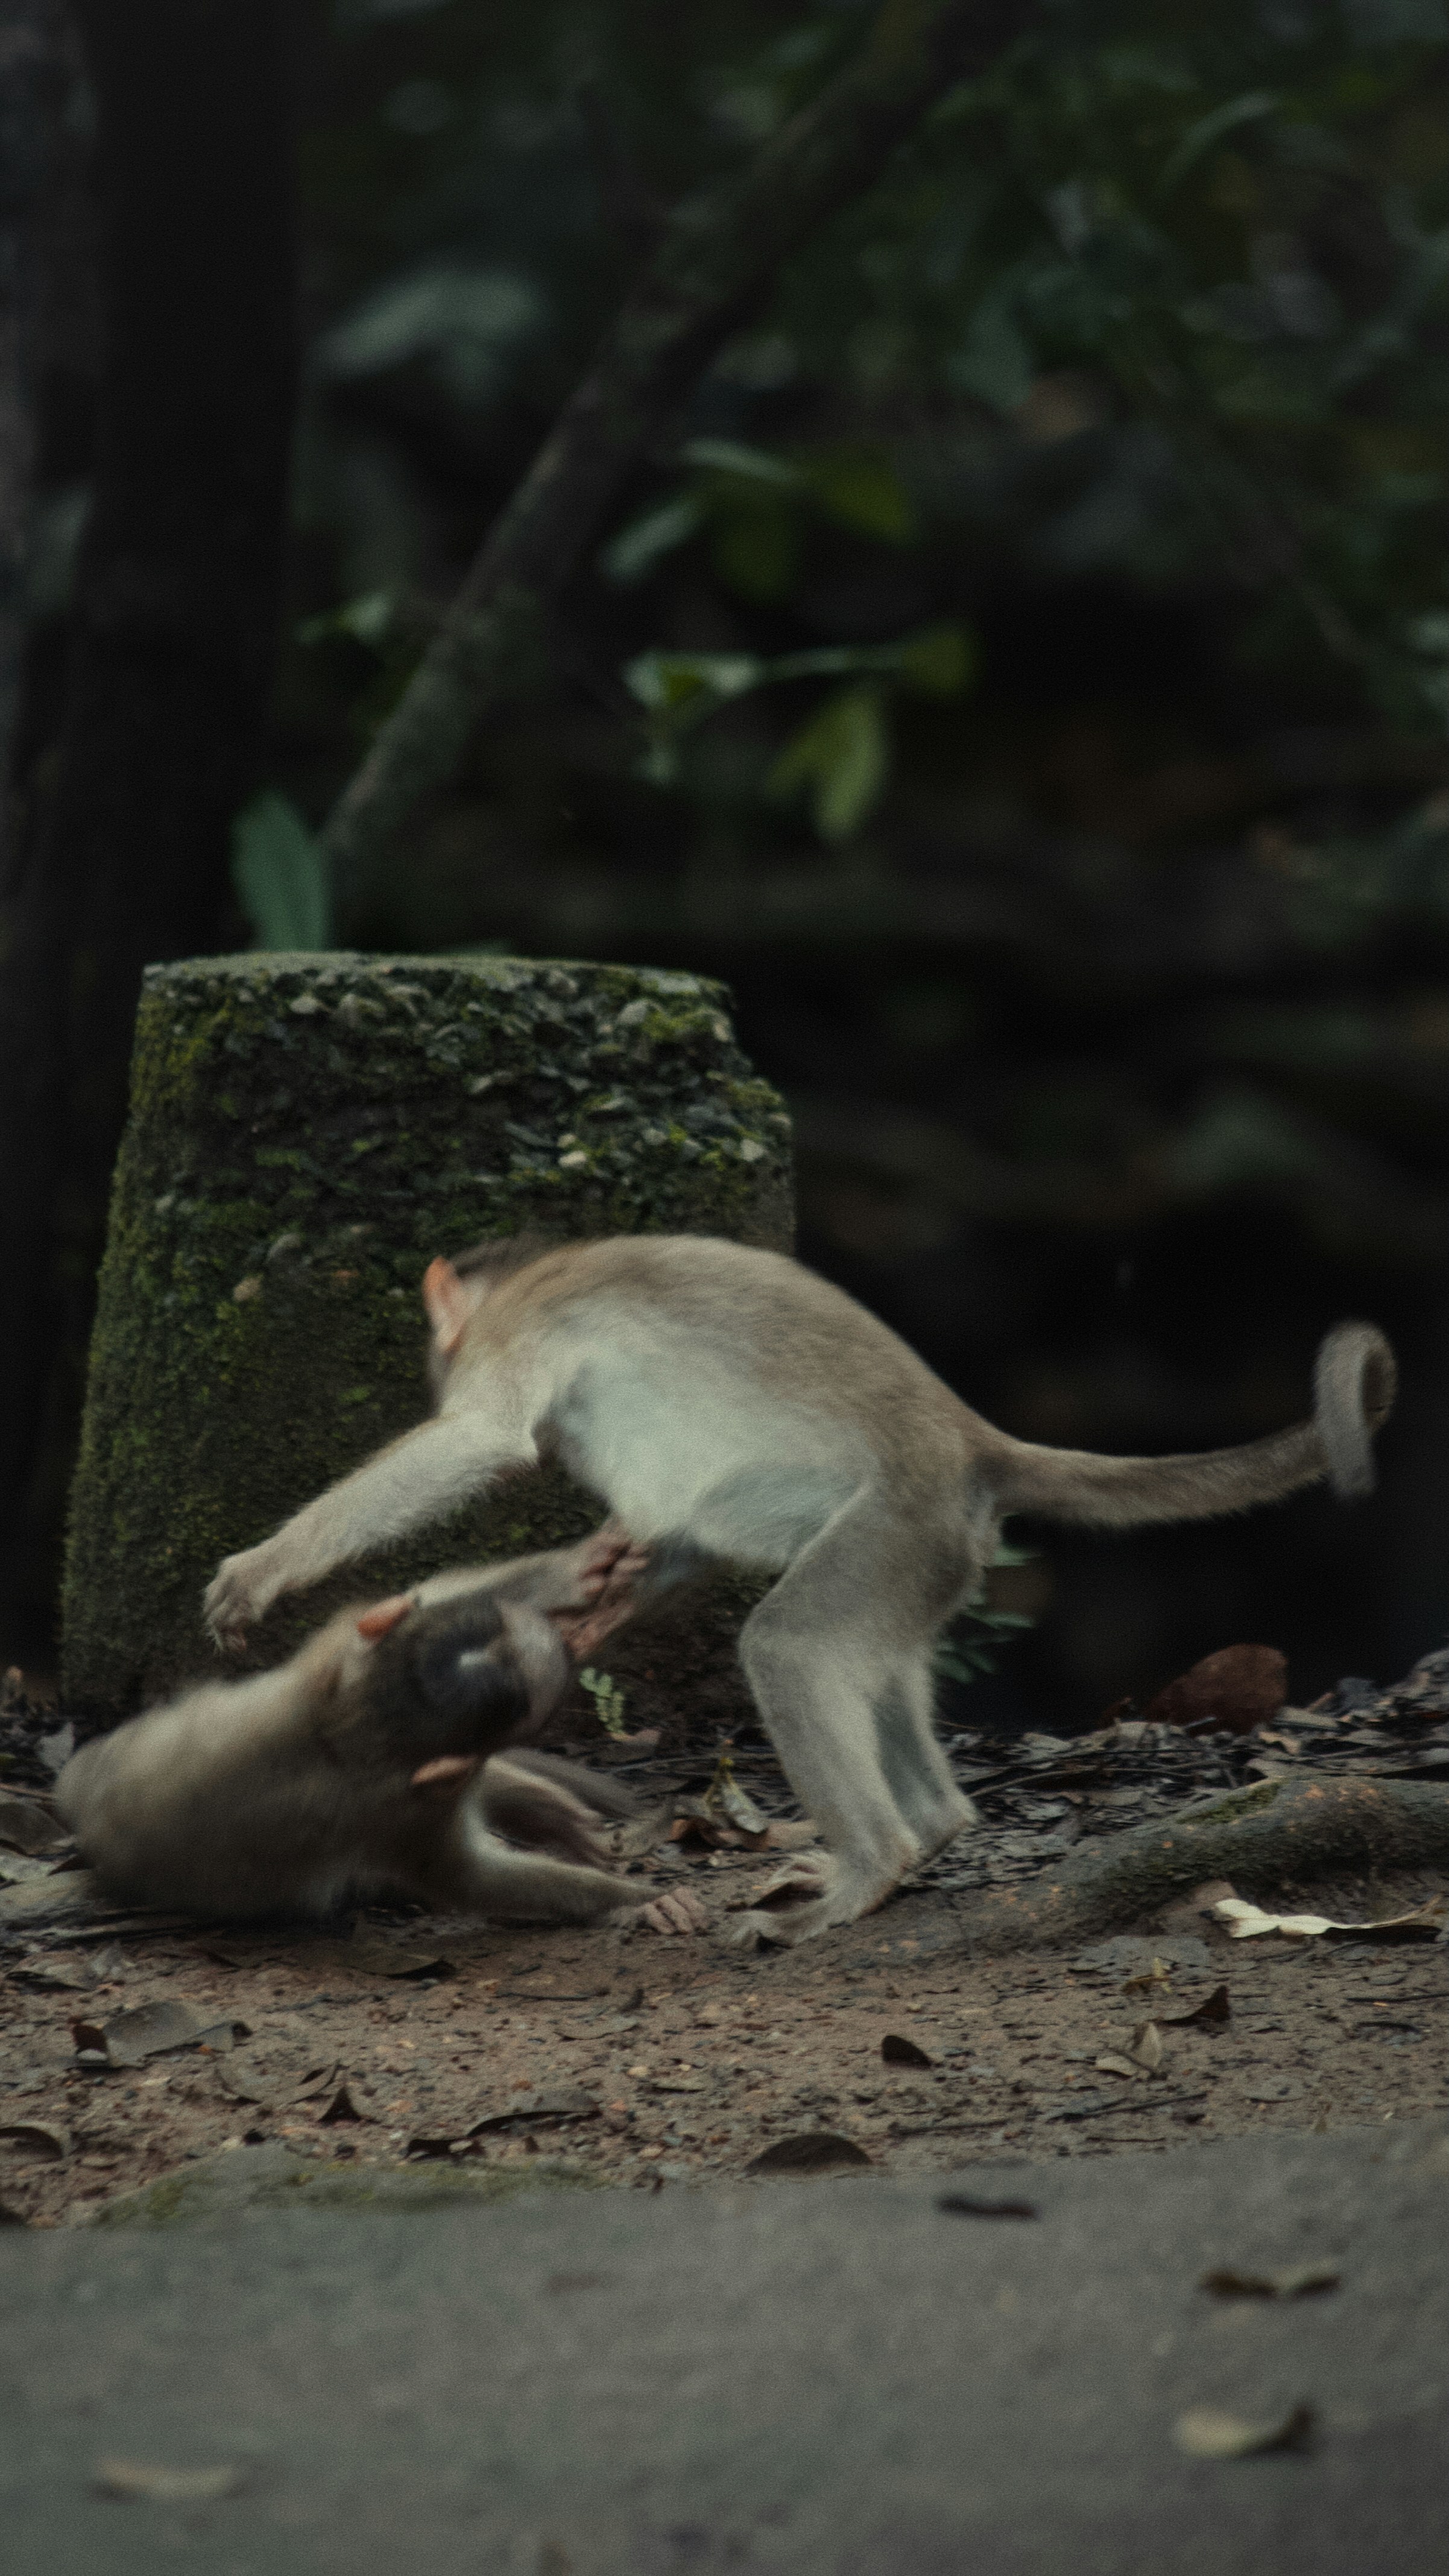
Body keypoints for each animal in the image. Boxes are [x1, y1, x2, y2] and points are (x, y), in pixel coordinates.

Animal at [59, 1528, 706, 1933]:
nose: (562, 1641)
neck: (351, 1724)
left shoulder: (340, 1654)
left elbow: (425, 1596)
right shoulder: (399, 1809)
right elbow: (470, 1879)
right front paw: (640, 1898)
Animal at [202, 1231, 1396, 1946]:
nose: (432, 1359)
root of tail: (968, 1442)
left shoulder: (518, 1338)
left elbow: (478, 1442)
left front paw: (264, 1569)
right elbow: (671, 1539)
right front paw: (589, 1602)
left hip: (896, 1526)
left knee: (788, 1644)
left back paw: (872, 1868)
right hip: (928, 1558)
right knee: (873, 1667)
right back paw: (936, 1829)